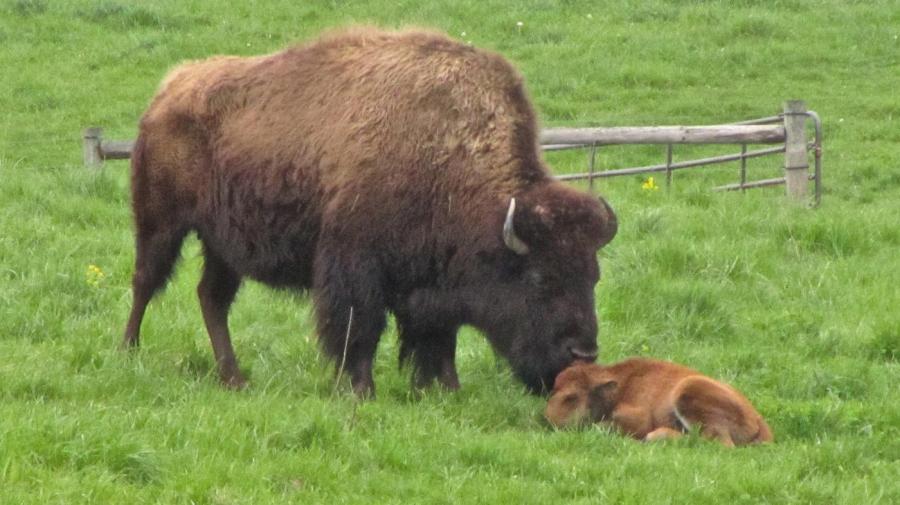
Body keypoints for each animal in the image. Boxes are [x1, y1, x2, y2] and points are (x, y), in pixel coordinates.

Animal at [122, 27, 618, 397]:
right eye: (538, 277)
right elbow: (359, 328)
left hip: (223, 245)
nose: (583, 354)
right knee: (146, 282)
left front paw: (446, 389)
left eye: (593, 276)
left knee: (212, 298)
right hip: (162, 224)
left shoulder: (432, 284)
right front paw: (361, 391)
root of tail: (169, 91)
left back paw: (234, 378)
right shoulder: (355, 265)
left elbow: (439, 337)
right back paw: (129, 351)